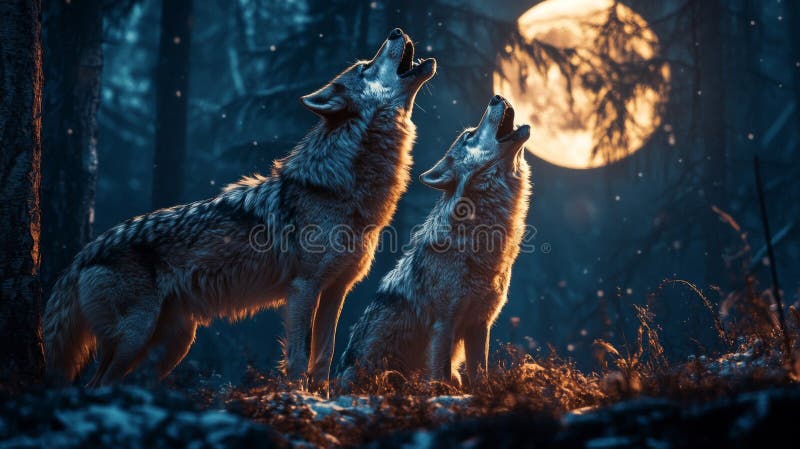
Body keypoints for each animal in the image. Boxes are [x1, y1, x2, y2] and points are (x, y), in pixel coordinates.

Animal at [44, 28, 436, 386]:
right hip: (137, 336)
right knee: (96, 385)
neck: (342, 189)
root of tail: (86, 252)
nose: (395, 31)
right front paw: (298, 401)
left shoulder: (336, 292)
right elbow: (298, 360)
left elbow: (322, 361)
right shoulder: (303, 289)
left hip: (172, 344)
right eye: (364, 67)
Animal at [337, 95, 531, 389]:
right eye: (468, 135)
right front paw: (440, 391)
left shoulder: (480, 325)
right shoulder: (444, 323)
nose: (496, 97)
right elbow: (439, 372)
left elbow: (481, 373)